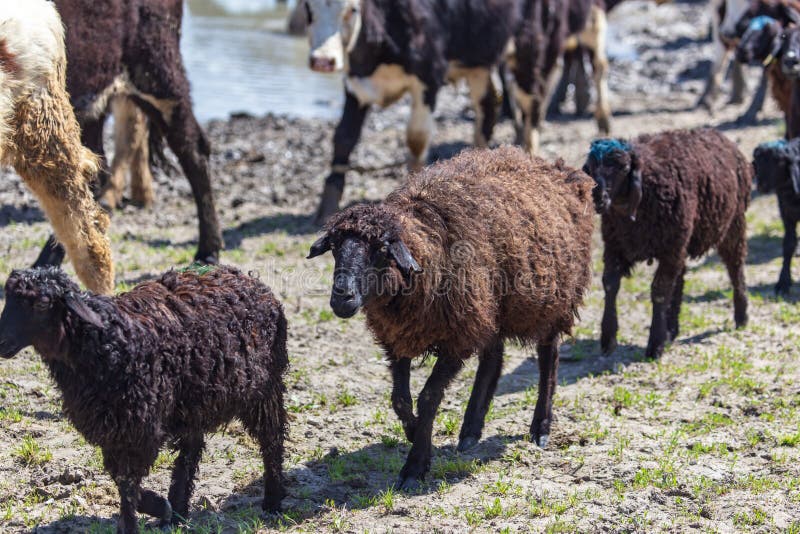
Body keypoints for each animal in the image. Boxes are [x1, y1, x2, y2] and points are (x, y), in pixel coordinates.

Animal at [0, 266, 288, 533]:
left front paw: (137, 520)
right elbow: (119, 478)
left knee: (272, 440)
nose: (2, 343)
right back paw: (178, 511)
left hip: (265, 388)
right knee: (190, 451)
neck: (107, 342)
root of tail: (253, 281)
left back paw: (272, 501)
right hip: (192, 400)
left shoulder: (139, 428)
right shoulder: (113, 428)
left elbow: (127, 482)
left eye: (42, 303)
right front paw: (159, 508)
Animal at [307, 146, 594, 489]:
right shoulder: (400, 336)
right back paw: (471, 430)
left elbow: (428, 397)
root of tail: (560, 170)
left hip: (551, 301)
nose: (342, 298)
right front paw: (413, 431)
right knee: (493, 358)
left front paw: (416, 464)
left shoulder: (456, 338)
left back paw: (541, 428)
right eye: (335, 248)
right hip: (491, 307)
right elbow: (399, 399)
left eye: (381, 250)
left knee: (548, 359)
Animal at [583, 130, 751, 360]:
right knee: (679, 279)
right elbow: (610, 284)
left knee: (735, 267)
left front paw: (655, 345)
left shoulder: (670, 247)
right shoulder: (615, 245)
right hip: (682, 239)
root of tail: (721, 136)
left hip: (731, 224)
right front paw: (608, 338)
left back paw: (741, 316)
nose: (597, 197)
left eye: (623, 168)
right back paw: (671, 329)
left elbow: (659, 291)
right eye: (589, 169)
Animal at [753, 139, 800, 294]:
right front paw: (783, 282)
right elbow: (788, 244)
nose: (761, 186)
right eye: (757, 162)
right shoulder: (786, 212)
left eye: (779, 162)